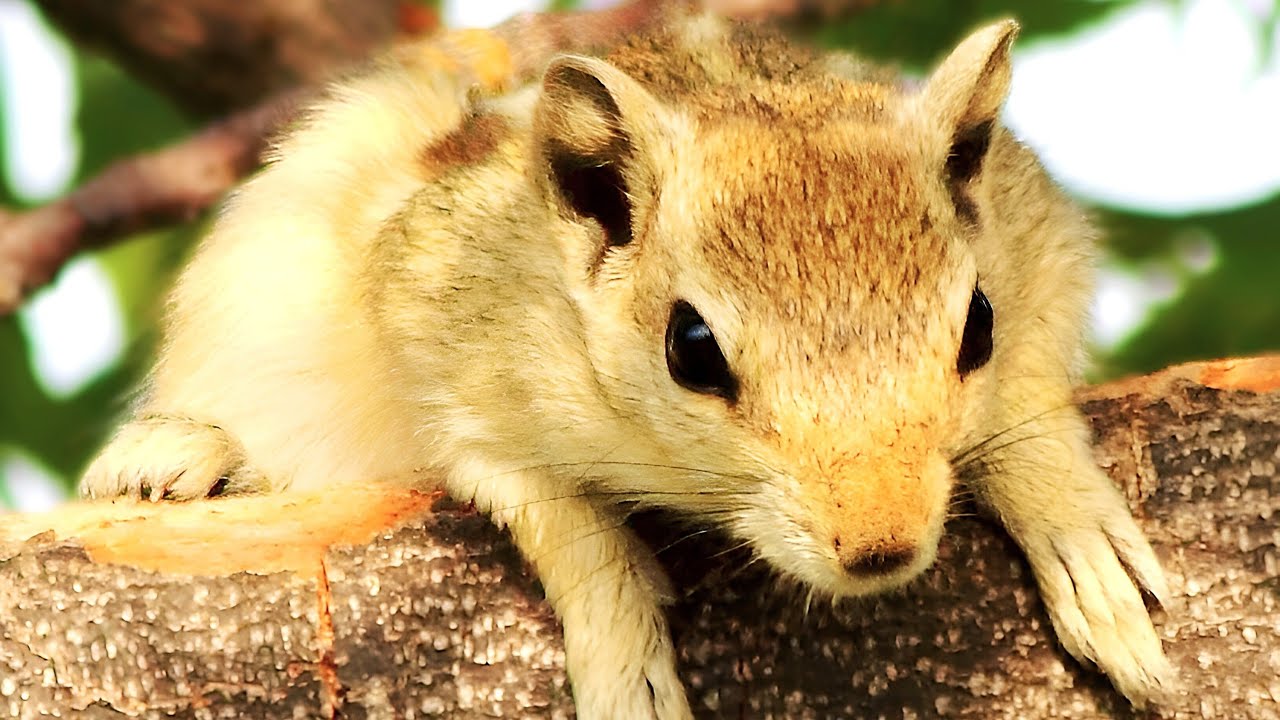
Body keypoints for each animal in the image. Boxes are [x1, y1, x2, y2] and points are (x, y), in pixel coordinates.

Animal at [80, 9, 1173, 718]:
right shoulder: (447, 345)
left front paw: (1083, 545)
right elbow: (553, 514)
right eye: (692, 350)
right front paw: (623, 661)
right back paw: (176, 456)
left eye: (977, 325)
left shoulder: (1038, 233)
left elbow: (1033, 405)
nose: (881, 548)